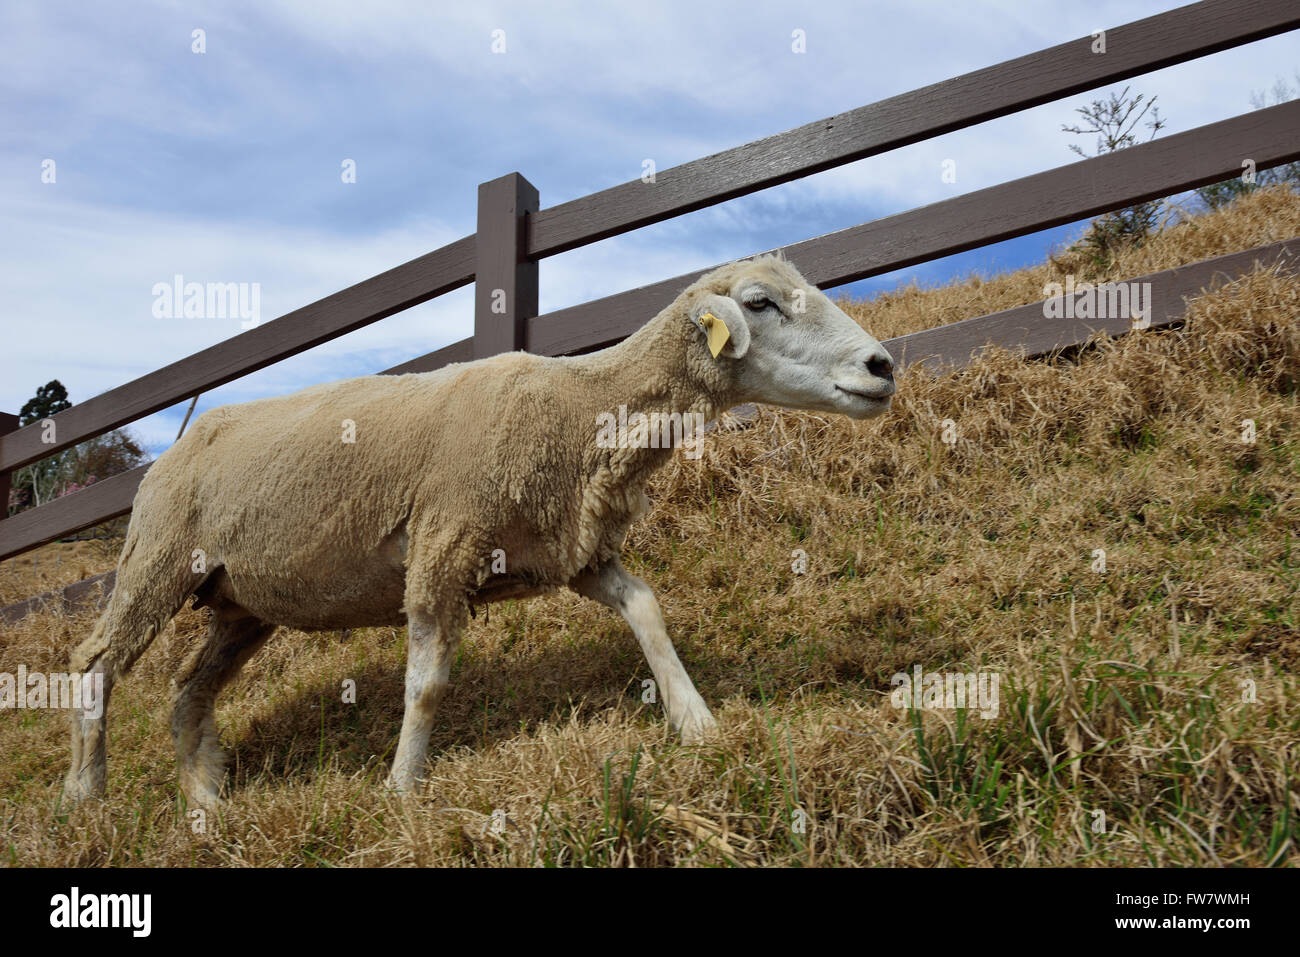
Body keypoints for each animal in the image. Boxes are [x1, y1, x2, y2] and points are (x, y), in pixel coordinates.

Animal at [63, 254, 896, 807]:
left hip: (241, 599)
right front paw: (403, 786)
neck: (580, 407)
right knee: (96, 665)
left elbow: (647, 609)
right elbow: (427, 681)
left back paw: (205, 798)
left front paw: (696, 722)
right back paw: (86, 792)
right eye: (760, 302)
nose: (883, 365)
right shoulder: (442, 544)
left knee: (186, 687)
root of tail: (175, 448)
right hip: (158, 558)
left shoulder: (572, 549)